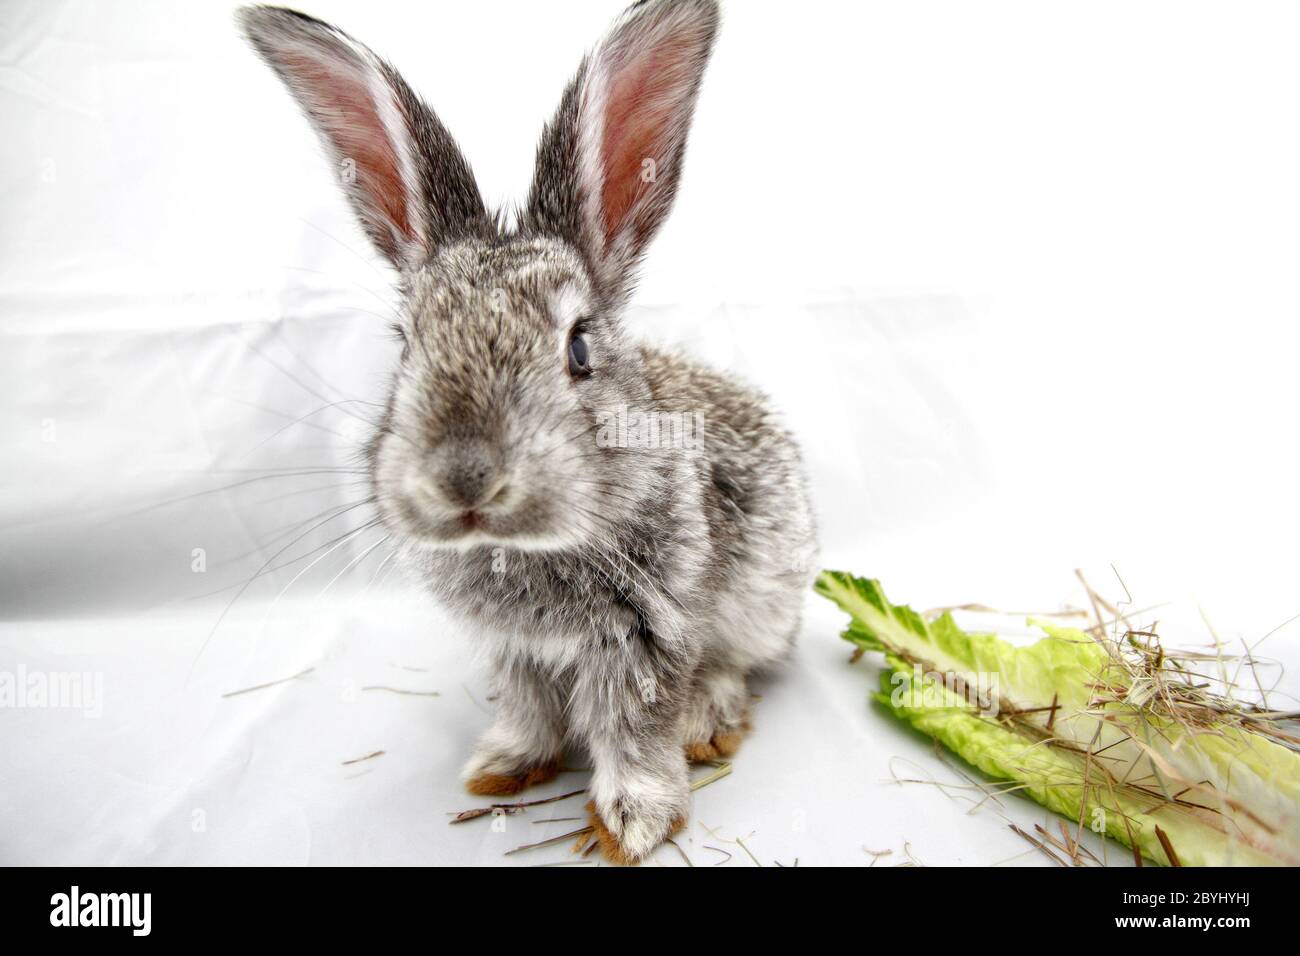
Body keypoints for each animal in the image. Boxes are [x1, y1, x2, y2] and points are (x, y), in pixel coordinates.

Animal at [239, 0, 817, 864]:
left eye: (578, 346)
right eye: (407, 344)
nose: (463, 479)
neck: (523, 550)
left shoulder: (645, 637)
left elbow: (634, 732)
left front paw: (633, 823)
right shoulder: (514, 647)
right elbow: (527, 706)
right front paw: (503, 766)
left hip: (765, 597)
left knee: (740, 663)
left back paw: (707, 718)